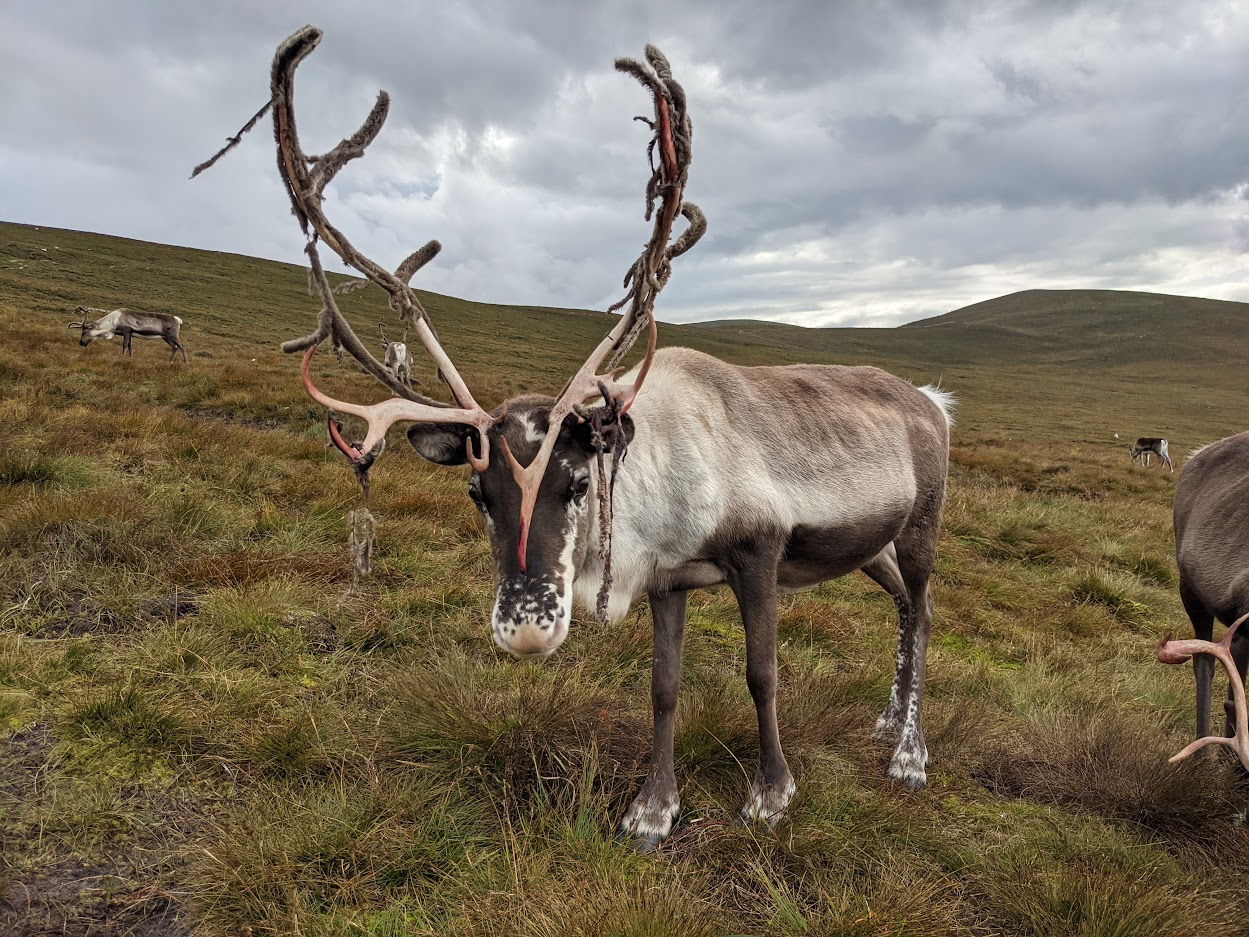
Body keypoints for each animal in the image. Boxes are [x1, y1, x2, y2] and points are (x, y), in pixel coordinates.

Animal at [196, 26, 953, 849]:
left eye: (581, 480)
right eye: (476, 491)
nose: (527, 630)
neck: (656, 475)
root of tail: (932, 402)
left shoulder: (760, 551)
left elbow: (762, 673)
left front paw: (770, 794)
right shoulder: (668, 580)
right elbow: (663, 687)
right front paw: (652, 810)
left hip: (920, 525)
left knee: (923, 611)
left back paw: (911, 754)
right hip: (870, 544)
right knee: (902, 609)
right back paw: (887, 720)